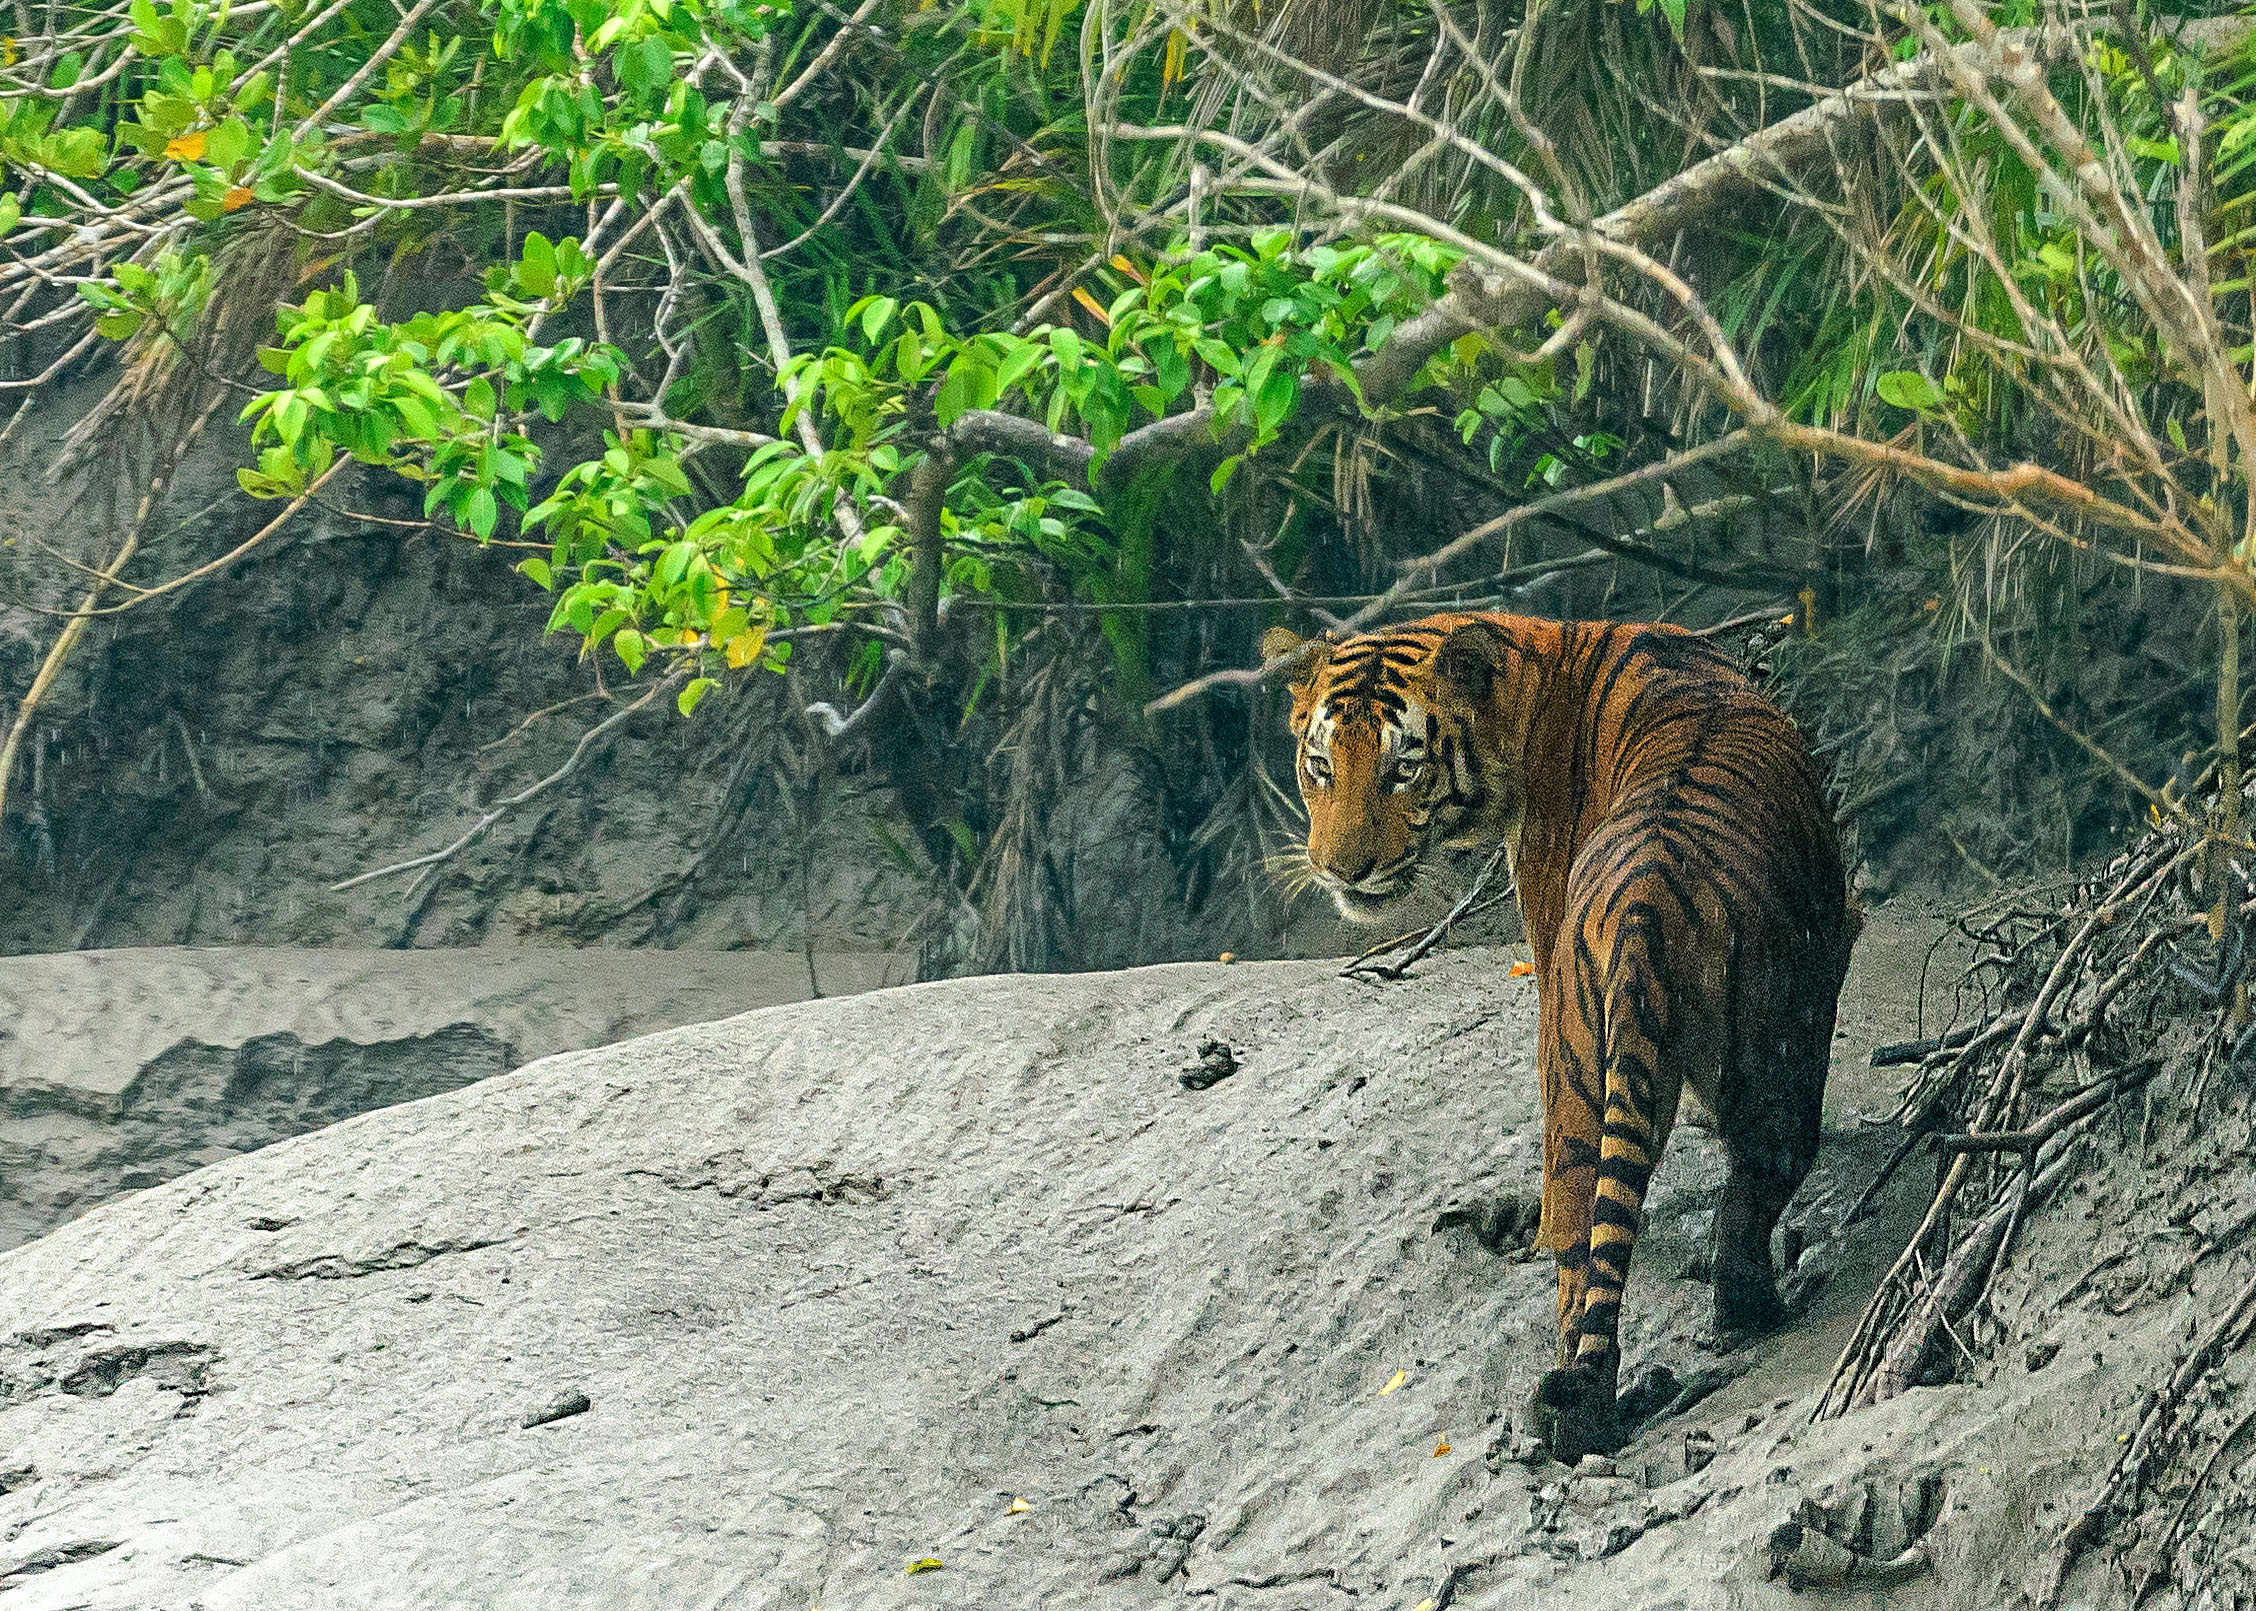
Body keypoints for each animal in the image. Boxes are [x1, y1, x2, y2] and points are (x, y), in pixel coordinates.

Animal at [1261, 611, 1859, 1465]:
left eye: (1401, 769)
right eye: (1319, 767)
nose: (1341, 870)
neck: (1529, 674)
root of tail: (1649, 902)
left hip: (1584, 1057)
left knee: (1582, 1247)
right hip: (1772, 1036)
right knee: (1753, 1179)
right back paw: (1738, 1319)